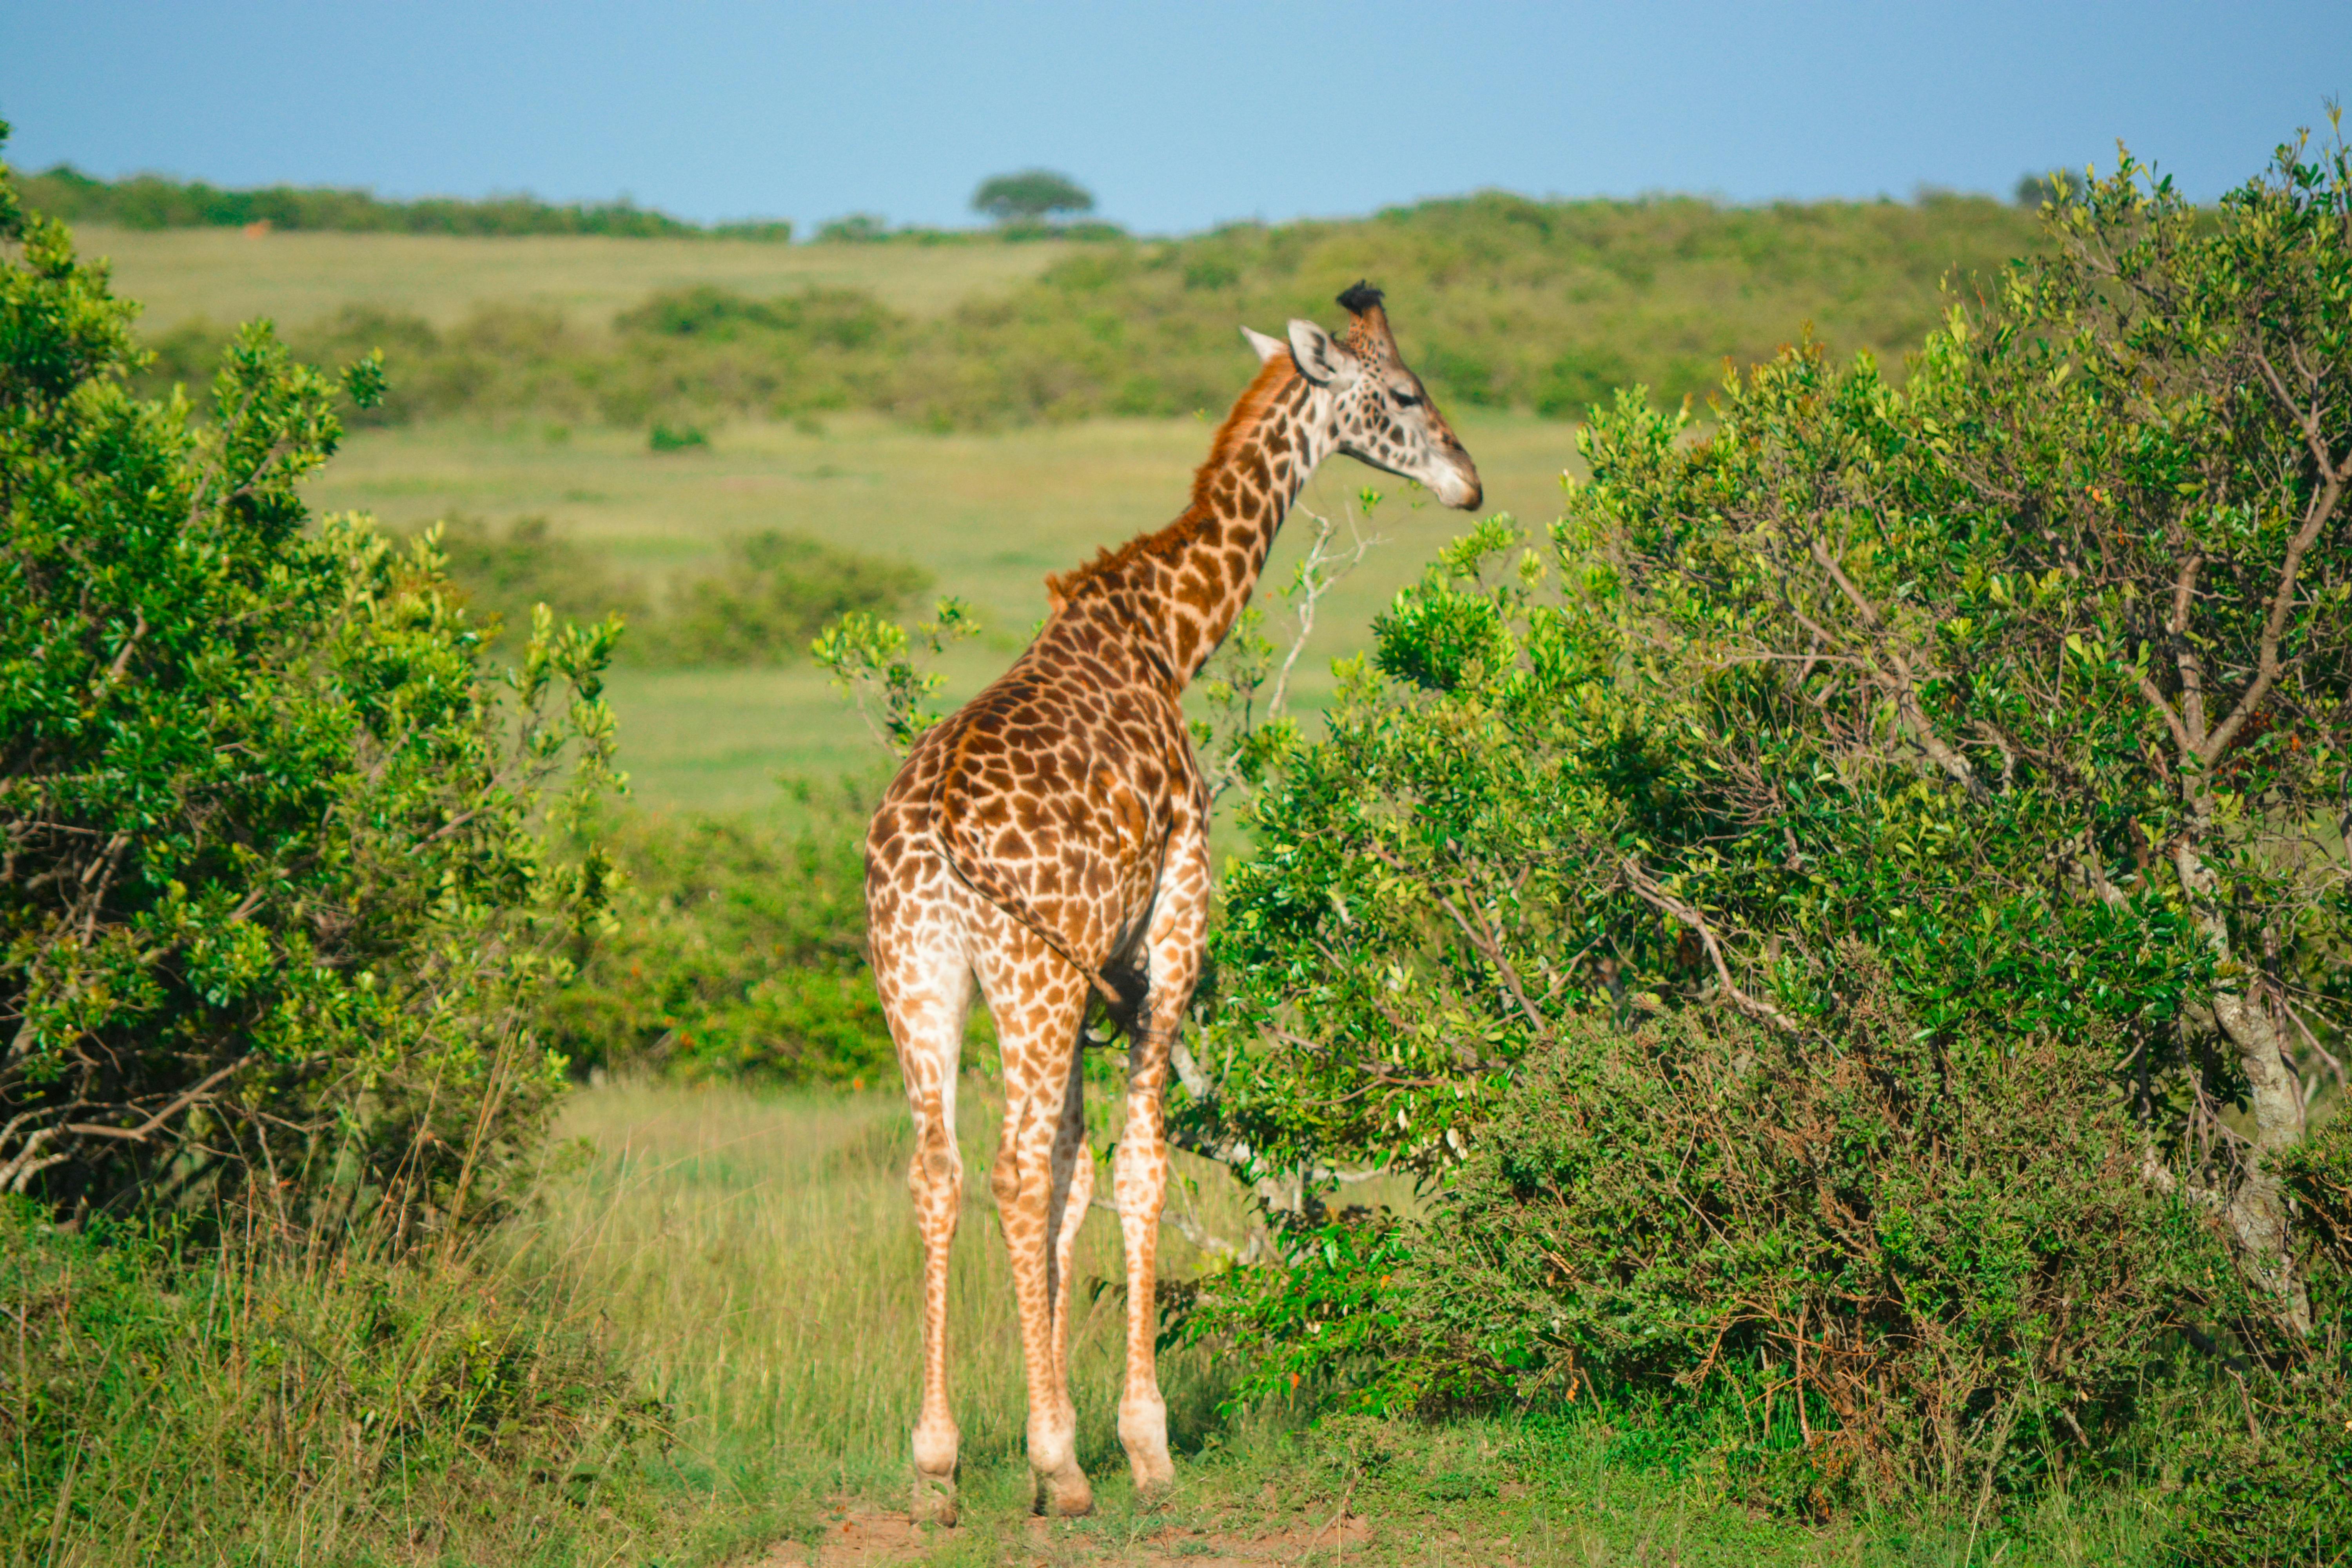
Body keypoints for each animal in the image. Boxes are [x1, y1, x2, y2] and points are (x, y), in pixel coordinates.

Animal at [863, 282, 1481, 1524]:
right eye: (1403, 395)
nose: (1467, 481)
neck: (1168, 632)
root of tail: (936, 832)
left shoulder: (1097, 972)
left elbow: (1074, 1176)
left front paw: (1049, 1442)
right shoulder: (1170, 933)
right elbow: (1137, 1169)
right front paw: (1129, 1446)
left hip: (922, 977)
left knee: (941, 1172)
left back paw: (937, 1466)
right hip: (1030, 977)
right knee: (1004, 1172)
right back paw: (1061, 1468)